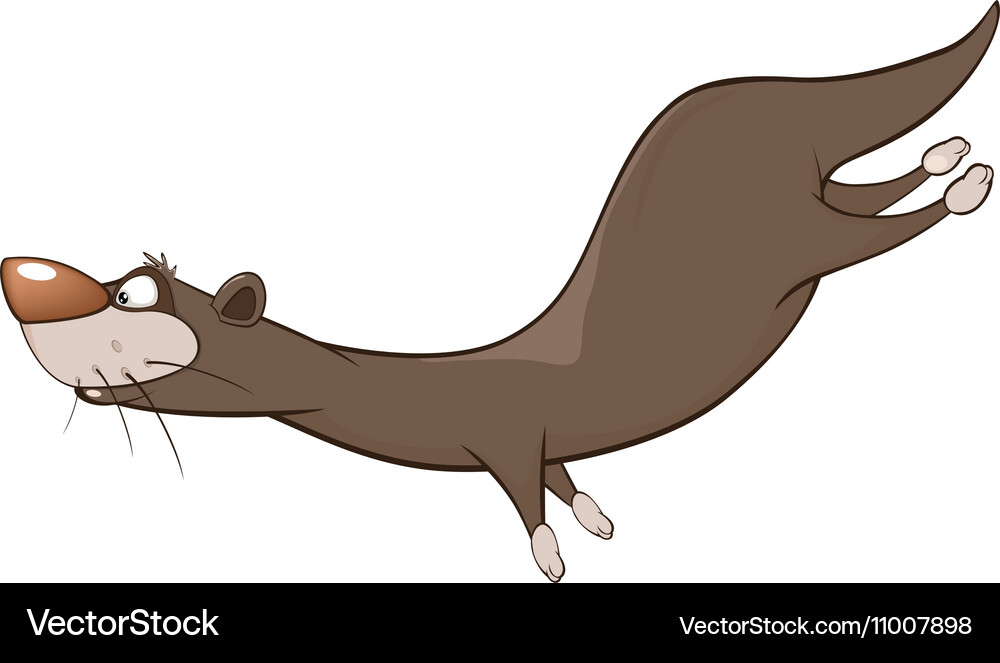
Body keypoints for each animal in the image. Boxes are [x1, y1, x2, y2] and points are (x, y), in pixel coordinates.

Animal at [2, 5, 996, 582]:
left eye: (134, 294)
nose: (24, 282)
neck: (436, 390)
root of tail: (778, 95)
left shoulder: (505, 430)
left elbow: (524, 488)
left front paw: (548, 549)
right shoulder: (531, 438)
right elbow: (559, 475)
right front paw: (591, 514)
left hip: (788, 234)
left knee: (876, 230)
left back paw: (961, 186)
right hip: (798, 220)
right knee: (865, 199)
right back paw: (944, 156)